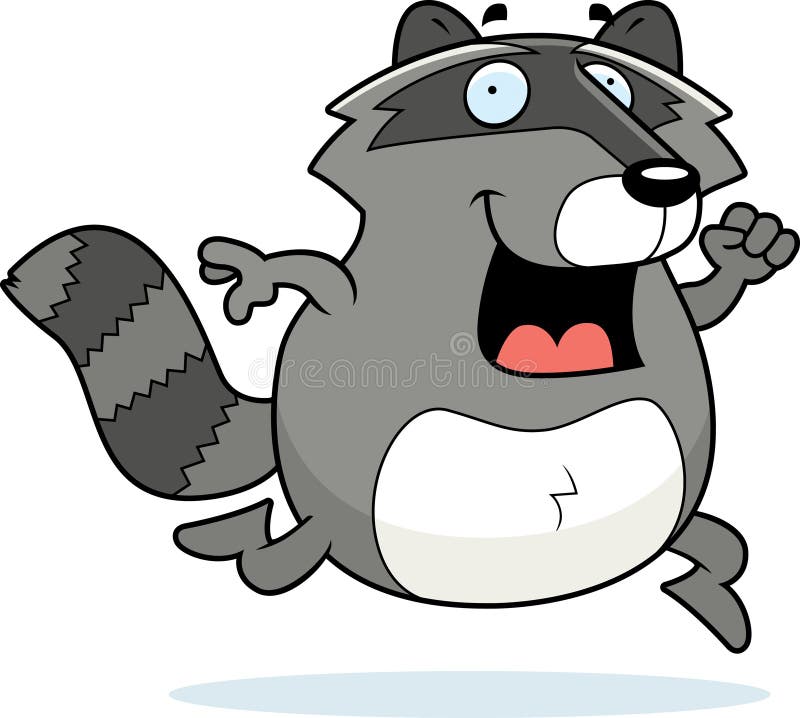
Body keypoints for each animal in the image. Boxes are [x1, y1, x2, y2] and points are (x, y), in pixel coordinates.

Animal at [3, 1, 797, 652]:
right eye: (495, 95)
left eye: (619, 88)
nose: (662, 182)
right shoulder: (346, 298)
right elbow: (317, 278)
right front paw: (258, 274)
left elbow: (701, 305)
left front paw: (747, 251)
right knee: (287, 550)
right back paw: (256, 549)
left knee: (720, 547)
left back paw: (711, 587)